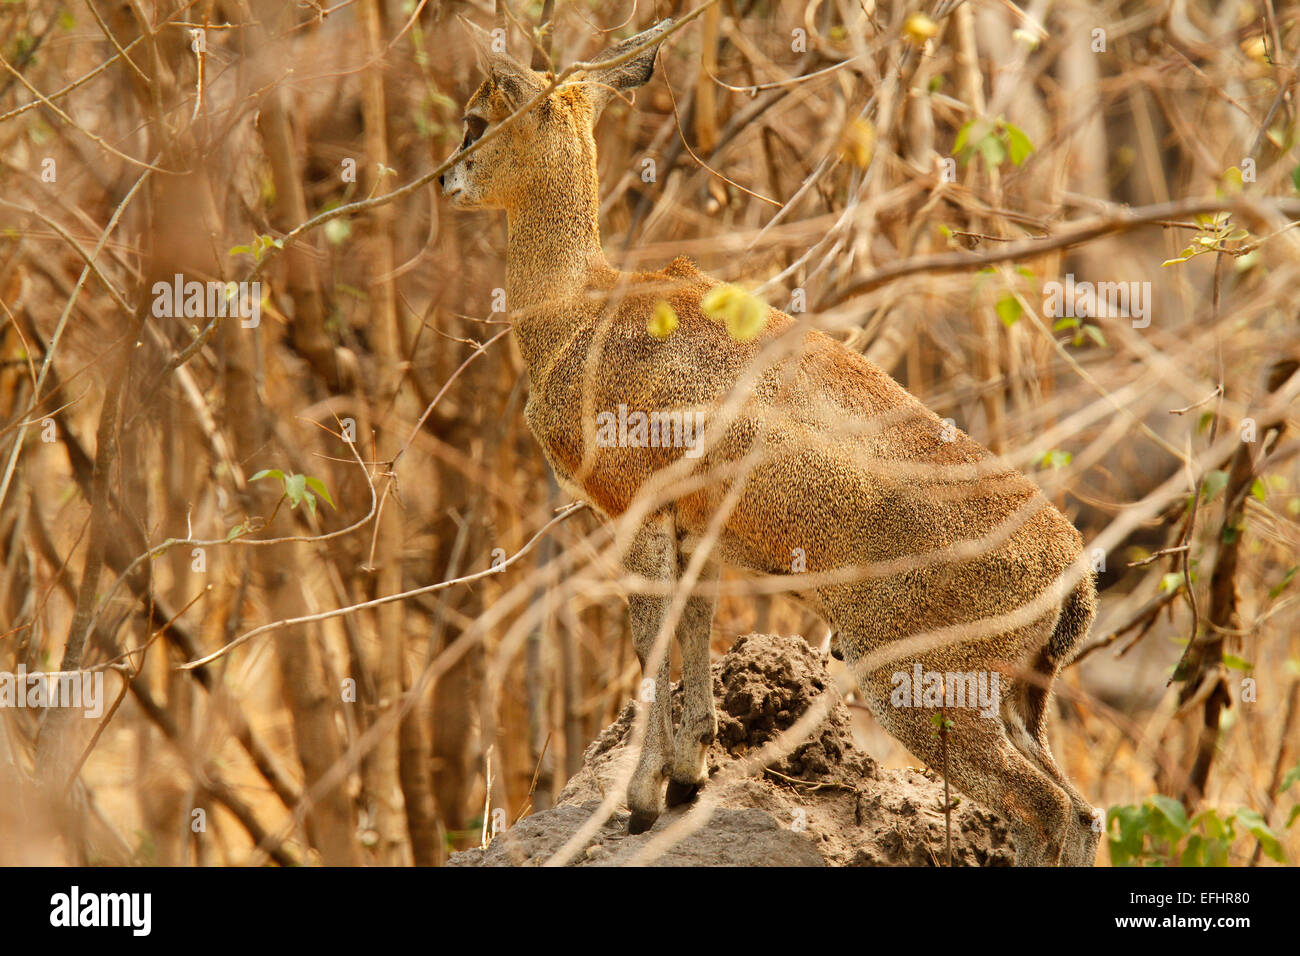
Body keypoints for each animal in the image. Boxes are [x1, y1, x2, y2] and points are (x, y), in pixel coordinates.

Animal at [440, 17, 1100, 866]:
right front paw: (685, 781)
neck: (575, 312)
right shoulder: (694, 537)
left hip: (921, 684)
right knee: (1081, 811)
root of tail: (1073, 573)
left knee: (1046, 809)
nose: (445, 180)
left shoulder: (634, 518)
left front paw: (641, 802)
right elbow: (692, 650)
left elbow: (650, 650)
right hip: (1018, 699)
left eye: (477, 118)